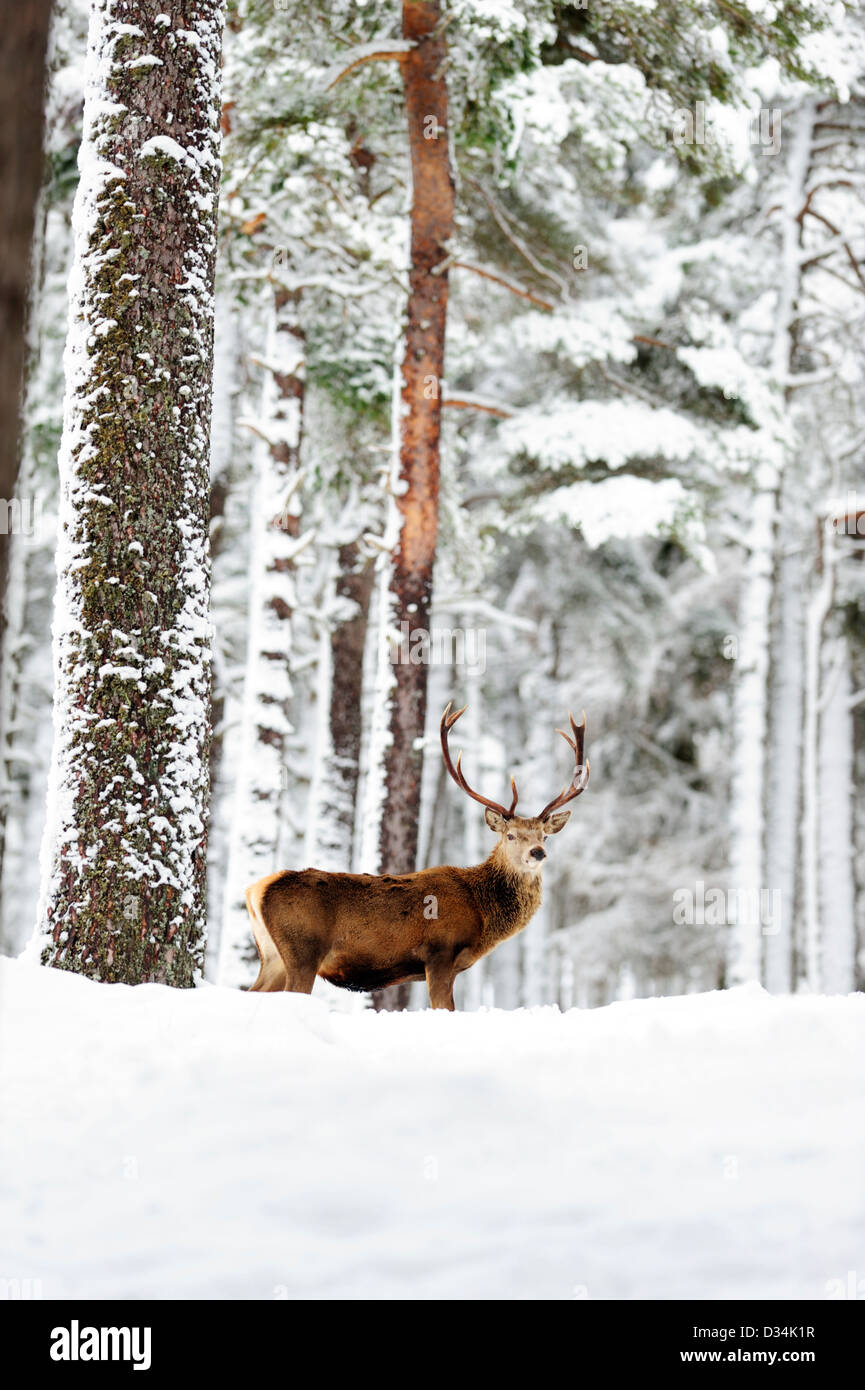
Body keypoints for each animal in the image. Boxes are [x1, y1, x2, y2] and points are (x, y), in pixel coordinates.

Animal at [245, 703, 589, 1009]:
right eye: (511, 835)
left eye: (544, 835)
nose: (538, 852)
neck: (481, 913)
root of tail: (255, 889)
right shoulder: (439, 954)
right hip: (302, 949)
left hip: (273, 956)